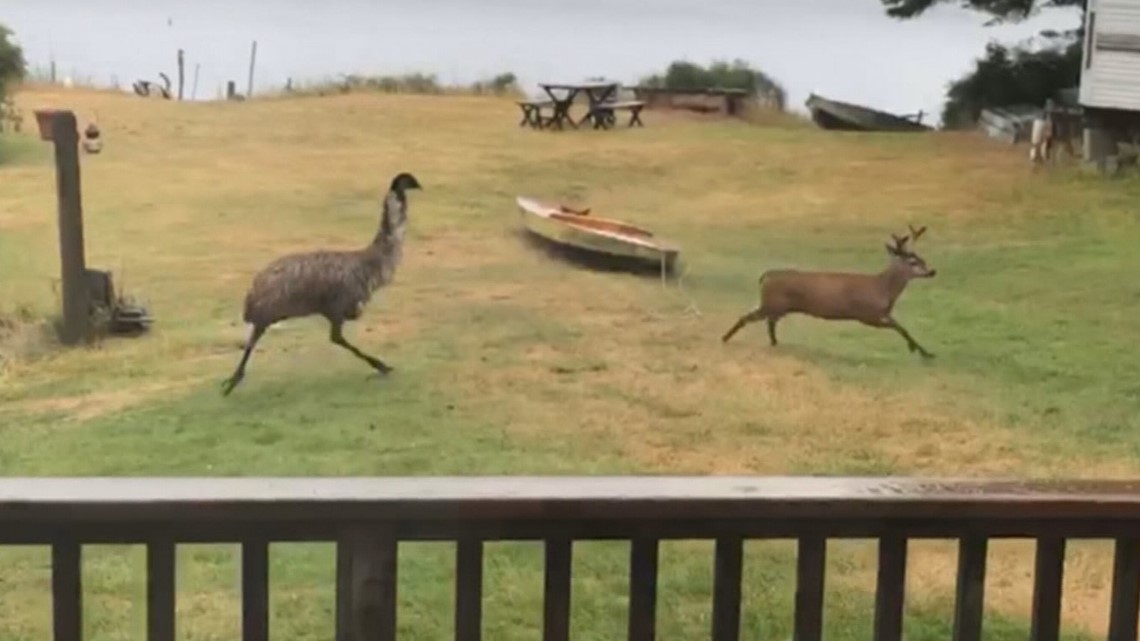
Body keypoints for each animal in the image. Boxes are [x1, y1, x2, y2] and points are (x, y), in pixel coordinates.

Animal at [721, 225, 937, 358]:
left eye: (923, 259)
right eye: (913, 262)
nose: (932, 271)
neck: (883, 290)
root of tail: (765, 276)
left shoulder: (881, 313)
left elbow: (901, 327)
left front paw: (923, 351)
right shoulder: (866, 314)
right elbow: (901, 328)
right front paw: (922, 352)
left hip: (776, 305)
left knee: (768, 321)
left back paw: (773, 342)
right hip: (773, 303)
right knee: (748, 317)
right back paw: (725, 338)